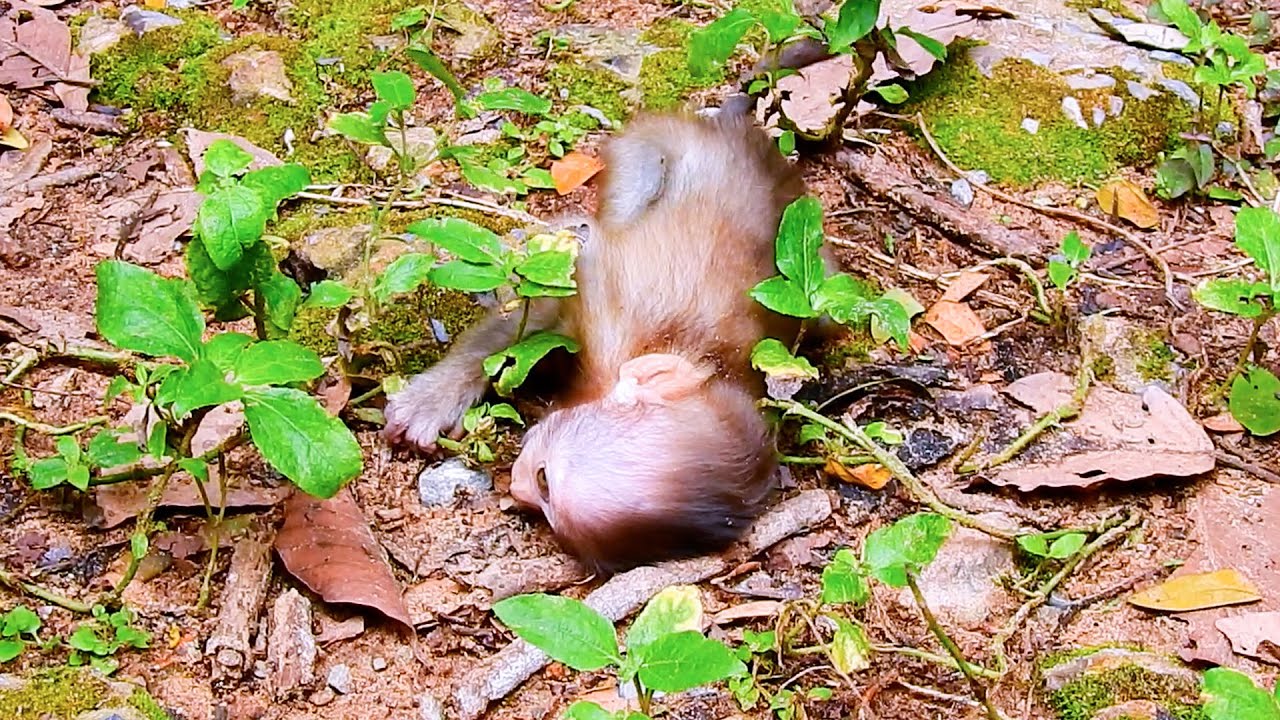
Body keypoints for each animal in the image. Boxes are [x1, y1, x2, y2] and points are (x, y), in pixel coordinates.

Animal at [384, 111, 808, 572]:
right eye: (544, 479)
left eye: (544, 497)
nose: (516, 489)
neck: (705, 362)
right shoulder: (610, 324)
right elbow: (550, 299)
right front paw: (435, 397)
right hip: (664, 150)